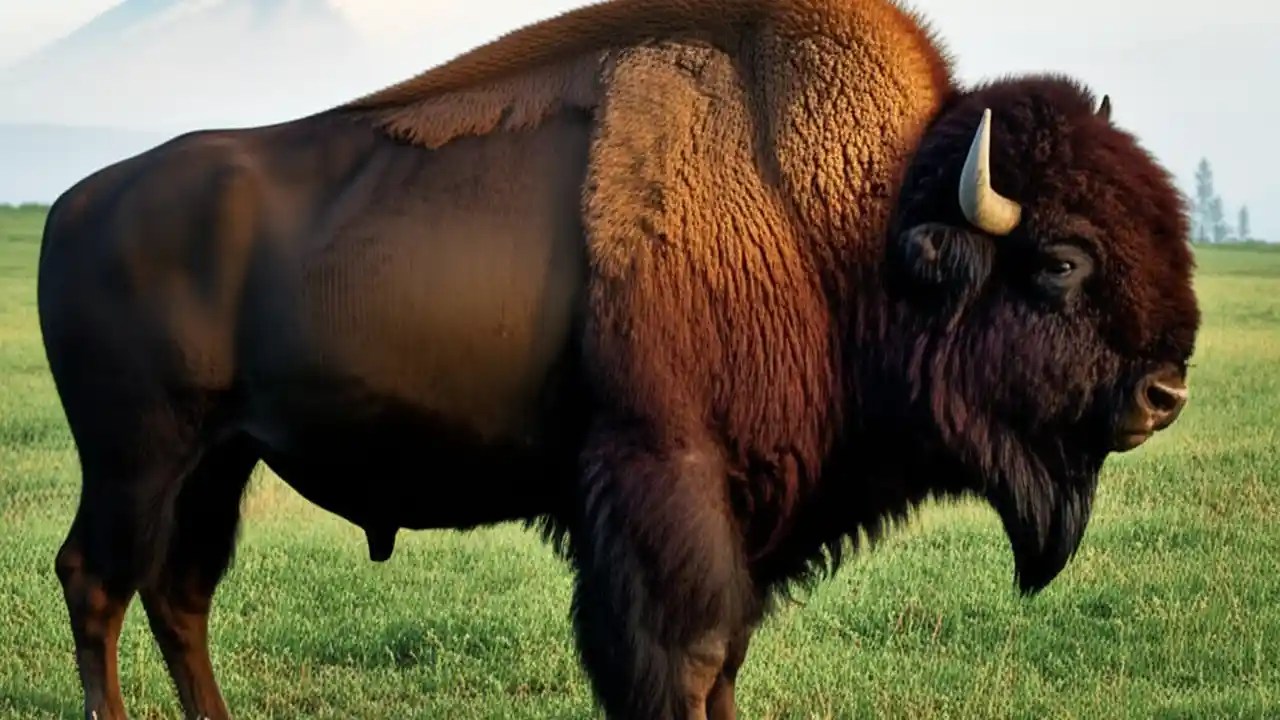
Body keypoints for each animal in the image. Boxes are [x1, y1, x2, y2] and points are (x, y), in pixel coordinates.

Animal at [36, 0, 1198, 718]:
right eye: (1060, 261)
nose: (1164, 392)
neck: (835, 226)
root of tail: (71, 205)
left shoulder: (741, 515)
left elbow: (723, 660)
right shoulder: (663, 482)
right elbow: (678, 660)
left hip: (218, 460)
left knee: (178, 594)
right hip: (137, 458)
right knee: (97, 581)